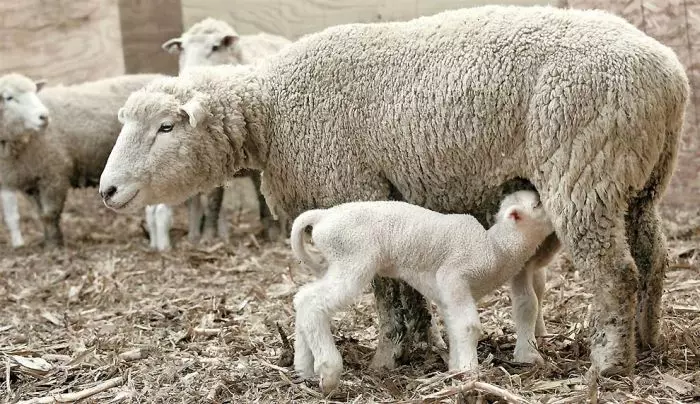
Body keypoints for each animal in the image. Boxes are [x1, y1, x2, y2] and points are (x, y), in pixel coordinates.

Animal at [0, 74, 161, 248]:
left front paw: (55, 245)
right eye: (9, 98)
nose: (44, 117)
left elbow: (50, 214)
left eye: (35, 92)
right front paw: (49, 242)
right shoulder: (31, 181)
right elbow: (41, 215)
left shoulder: (54, 175)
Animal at [153, 17, 292, 246]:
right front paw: (208, 236)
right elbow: (213, 200)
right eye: (182, 48)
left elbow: (262, 195)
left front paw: (272, 232)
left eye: (215, 47)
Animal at [290, 191, 552, 392]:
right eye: (538, 204)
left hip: (338, 262)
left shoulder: (447, 294)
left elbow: (454, 327)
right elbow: (469, 326)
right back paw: (328, 370)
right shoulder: (454, 276)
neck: (496, 249)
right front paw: (471, 372)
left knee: (302, 298)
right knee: (313, 303)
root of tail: (323, 215)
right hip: (352, 259)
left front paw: (455, 368)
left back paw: (303, 368)